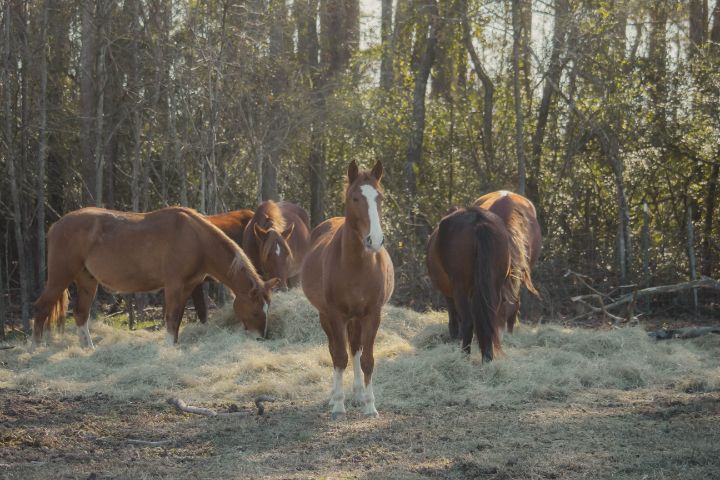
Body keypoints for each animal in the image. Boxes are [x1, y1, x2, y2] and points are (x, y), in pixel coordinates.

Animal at [33, 207, 278, 349]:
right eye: (255, 311)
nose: (261, 337)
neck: (196, 238)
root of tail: (56, 225)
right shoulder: (174, 287)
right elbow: (171, 318)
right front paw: (169, 347)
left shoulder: (188, 287)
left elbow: (178, 320)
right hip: (60, 276)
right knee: (42, 307)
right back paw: (37, 346)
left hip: (86, 280)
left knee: (81, 313)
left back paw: (88, 348)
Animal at [301, 160, 394, 418]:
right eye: (355, 198)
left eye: (380, 197)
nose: (375, 240)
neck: (357, 266)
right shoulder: (335, 315)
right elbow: (340, 357)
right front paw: (339, 406)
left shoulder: (372, 314)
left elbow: (367, 359)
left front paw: (370, 405)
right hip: (326, 317)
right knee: (336, 351)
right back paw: (335, 397)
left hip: (356, 319)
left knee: (355, 350)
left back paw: (358, 393)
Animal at [426, 206, 510, 360]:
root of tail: (478, 221)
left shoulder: (450, 294)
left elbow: (454, 318)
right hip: (493, 288)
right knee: (488, 320)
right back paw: (487, 358)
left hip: (460, 289)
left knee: (467, 321)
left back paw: (464, 356)